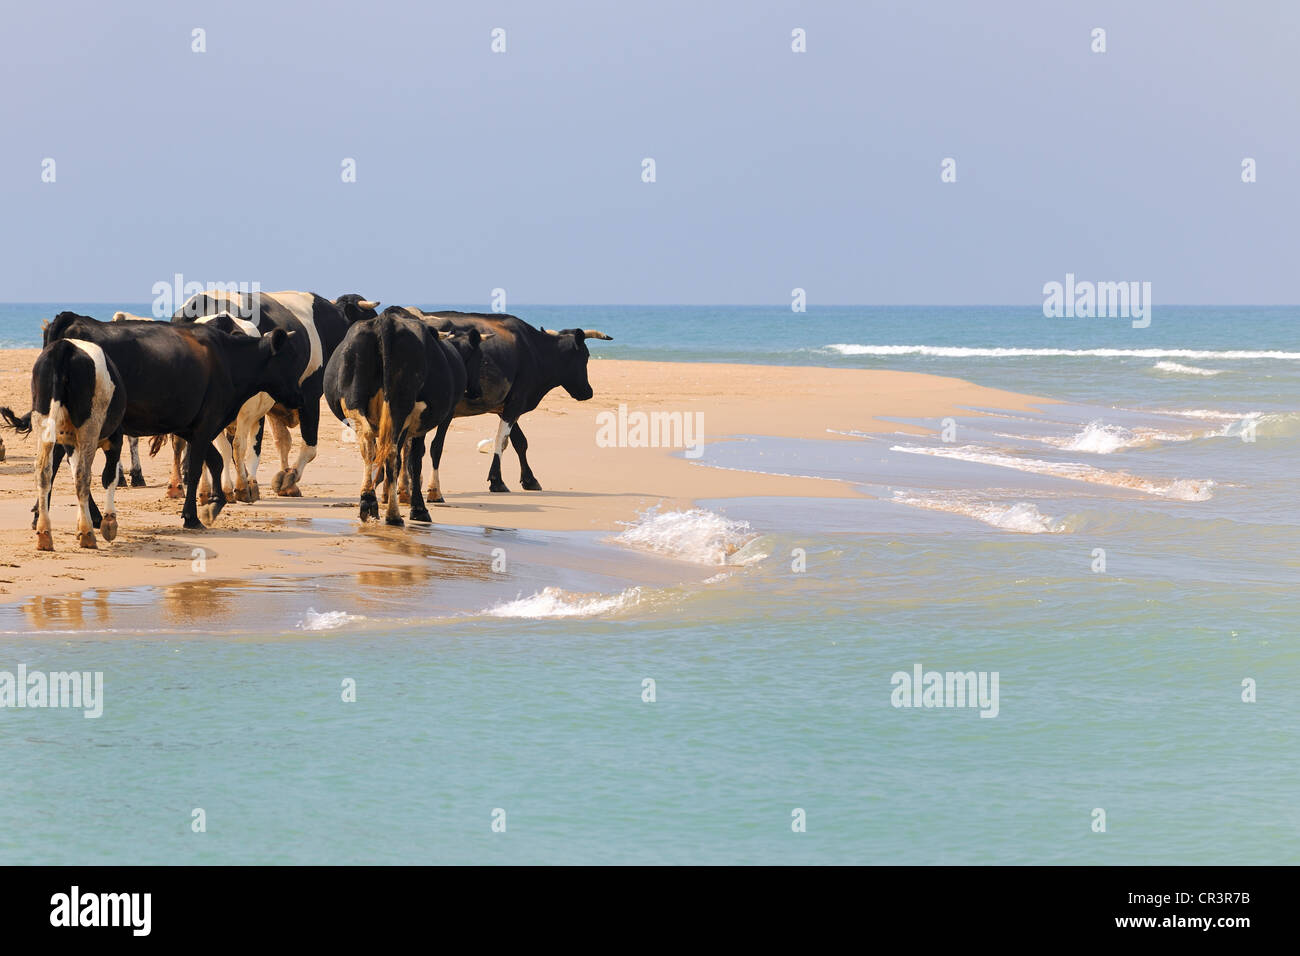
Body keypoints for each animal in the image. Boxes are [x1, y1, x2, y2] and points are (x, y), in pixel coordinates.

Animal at [0, 338, 126, 550]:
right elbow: (109, 476)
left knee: (44, 472)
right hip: (89, 427)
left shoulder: (69, 442)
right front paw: (109, 522)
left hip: (43, 419)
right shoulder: (115, 438)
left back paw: (44, 534)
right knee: (83, 475)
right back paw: (87, 534)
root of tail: (64, 346)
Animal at [3, 311, 304, 531]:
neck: (229, 358)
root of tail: (72, 319)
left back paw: (47, 516)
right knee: (65, 463)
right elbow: (198, 468)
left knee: (53, 462)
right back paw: (89, 518)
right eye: (288, 360)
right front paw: (193, 516)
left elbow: (215, 462)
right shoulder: (207, 422)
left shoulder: (192, 425)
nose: (300, 397)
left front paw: (214, 504)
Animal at [173, 291, 378, 499]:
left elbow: (282, 442)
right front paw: (289, 478)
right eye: (370, 319)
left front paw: (283, 480)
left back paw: (198, 488)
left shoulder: (274, 404)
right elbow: (308, 447)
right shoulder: (309, 397)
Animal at [324, 307, 487, 526]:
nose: (477, 391)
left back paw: (368, 501)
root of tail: (385, 322)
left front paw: (389, 493)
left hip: (353, 400)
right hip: (400, 406)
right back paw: (393, 514)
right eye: (479, 358)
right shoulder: (435, 419)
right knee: (394, 453)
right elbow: (418, 458)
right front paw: (418, 507)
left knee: (369, 445)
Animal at [416, 311, 613, 494]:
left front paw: (529, 479)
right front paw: (497, 481)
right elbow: (502, 439)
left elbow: (520, 442)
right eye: (586, 355)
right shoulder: (516, 402)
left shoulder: (507, 406)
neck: (535, 351)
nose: (588, 392)